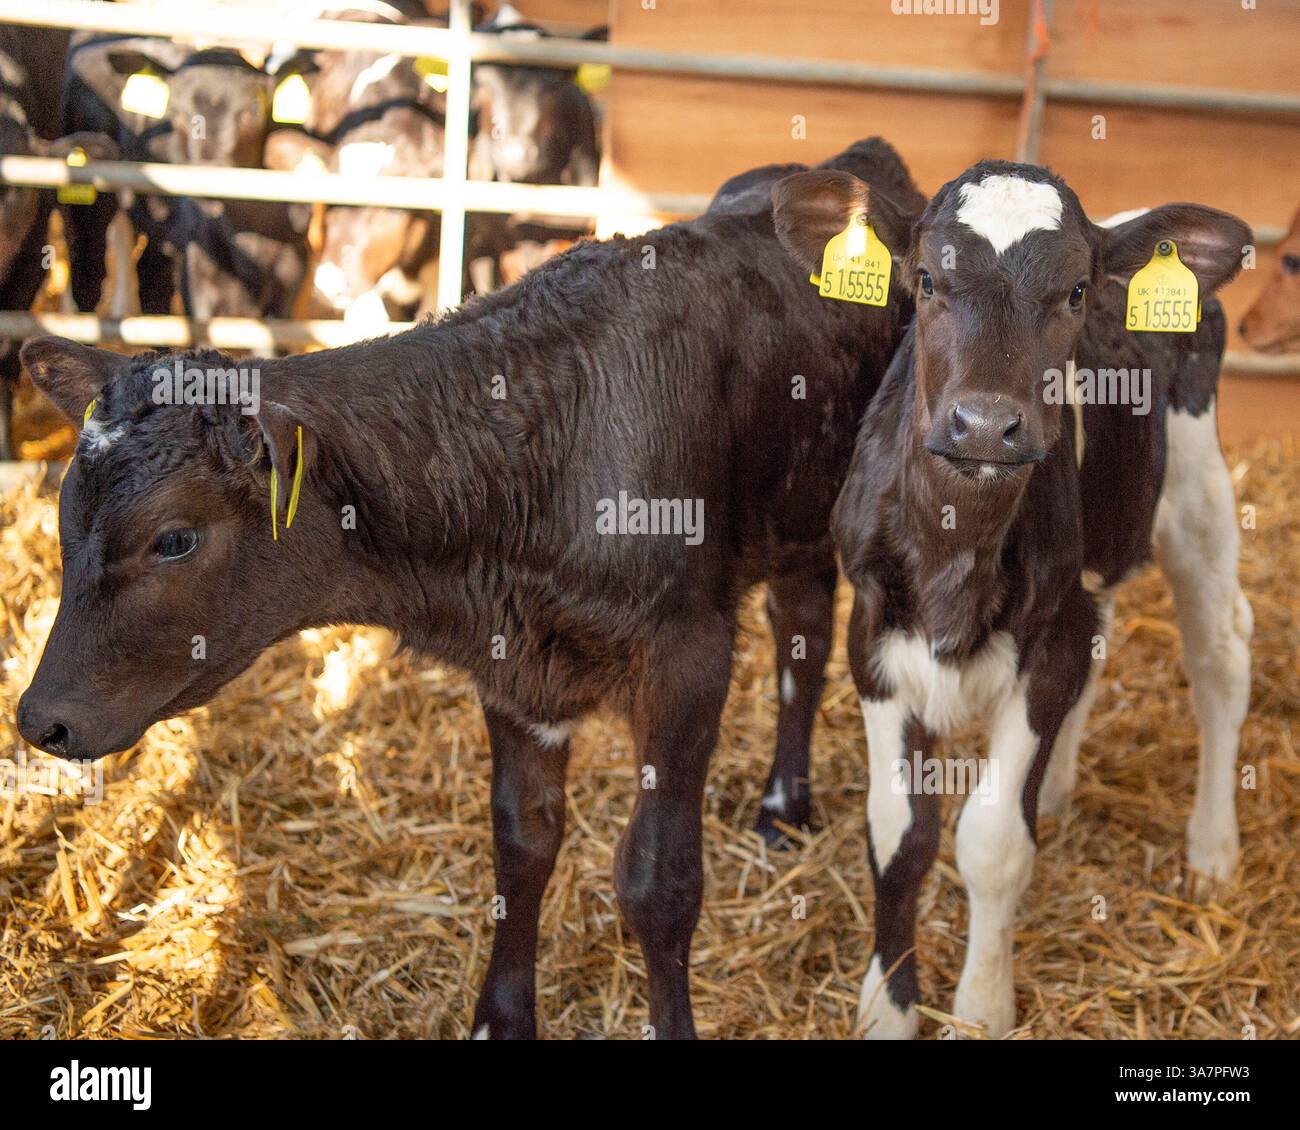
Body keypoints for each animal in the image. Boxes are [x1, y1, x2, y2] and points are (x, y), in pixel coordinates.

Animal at [15, 138, 925, 1039]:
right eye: (66, 513)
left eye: (173, 538)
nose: (37, 719)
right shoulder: (517, 667)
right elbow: (523, 843)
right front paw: (500, 1018)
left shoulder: (687, 660)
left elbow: (658, 882)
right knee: (802, 626)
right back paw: (783, 804)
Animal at [772, 159, 1252, 1038]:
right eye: (925, 281)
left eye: (1075, 292)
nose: (985, 425)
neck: (956, 552)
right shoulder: (875, 641)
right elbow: (900, 835)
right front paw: (888, 1006)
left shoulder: (1044, 646)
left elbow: (992, 842)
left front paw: (981, 1007)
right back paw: (1058, 789)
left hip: (1197, 493)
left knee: (1220, 657)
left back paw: (1210, 849)